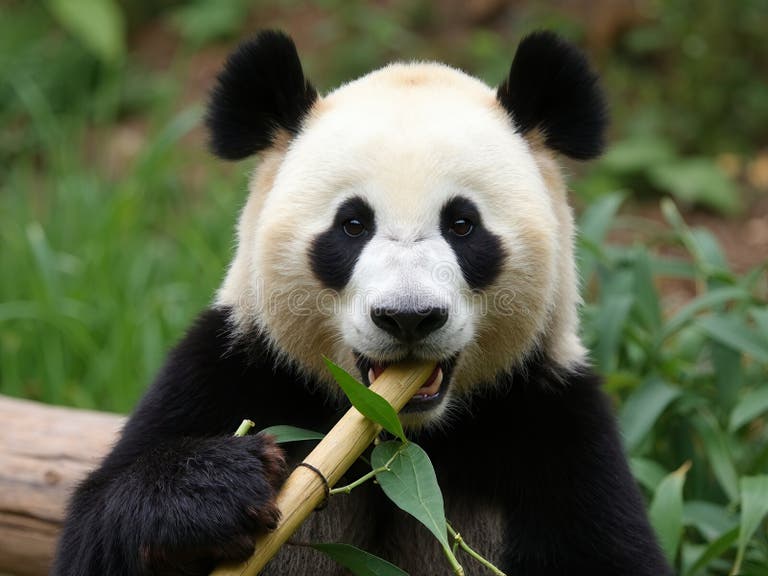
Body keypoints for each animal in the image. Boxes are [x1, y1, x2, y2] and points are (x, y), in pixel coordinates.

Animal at [53, 30, 672, 576]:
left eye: (463, 224)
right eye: (352, 225)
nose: (409, 317)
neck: (399, 437)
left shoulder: (552, 423)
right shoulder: (233, 371)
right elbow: (96, 530)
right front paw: (217, 488)